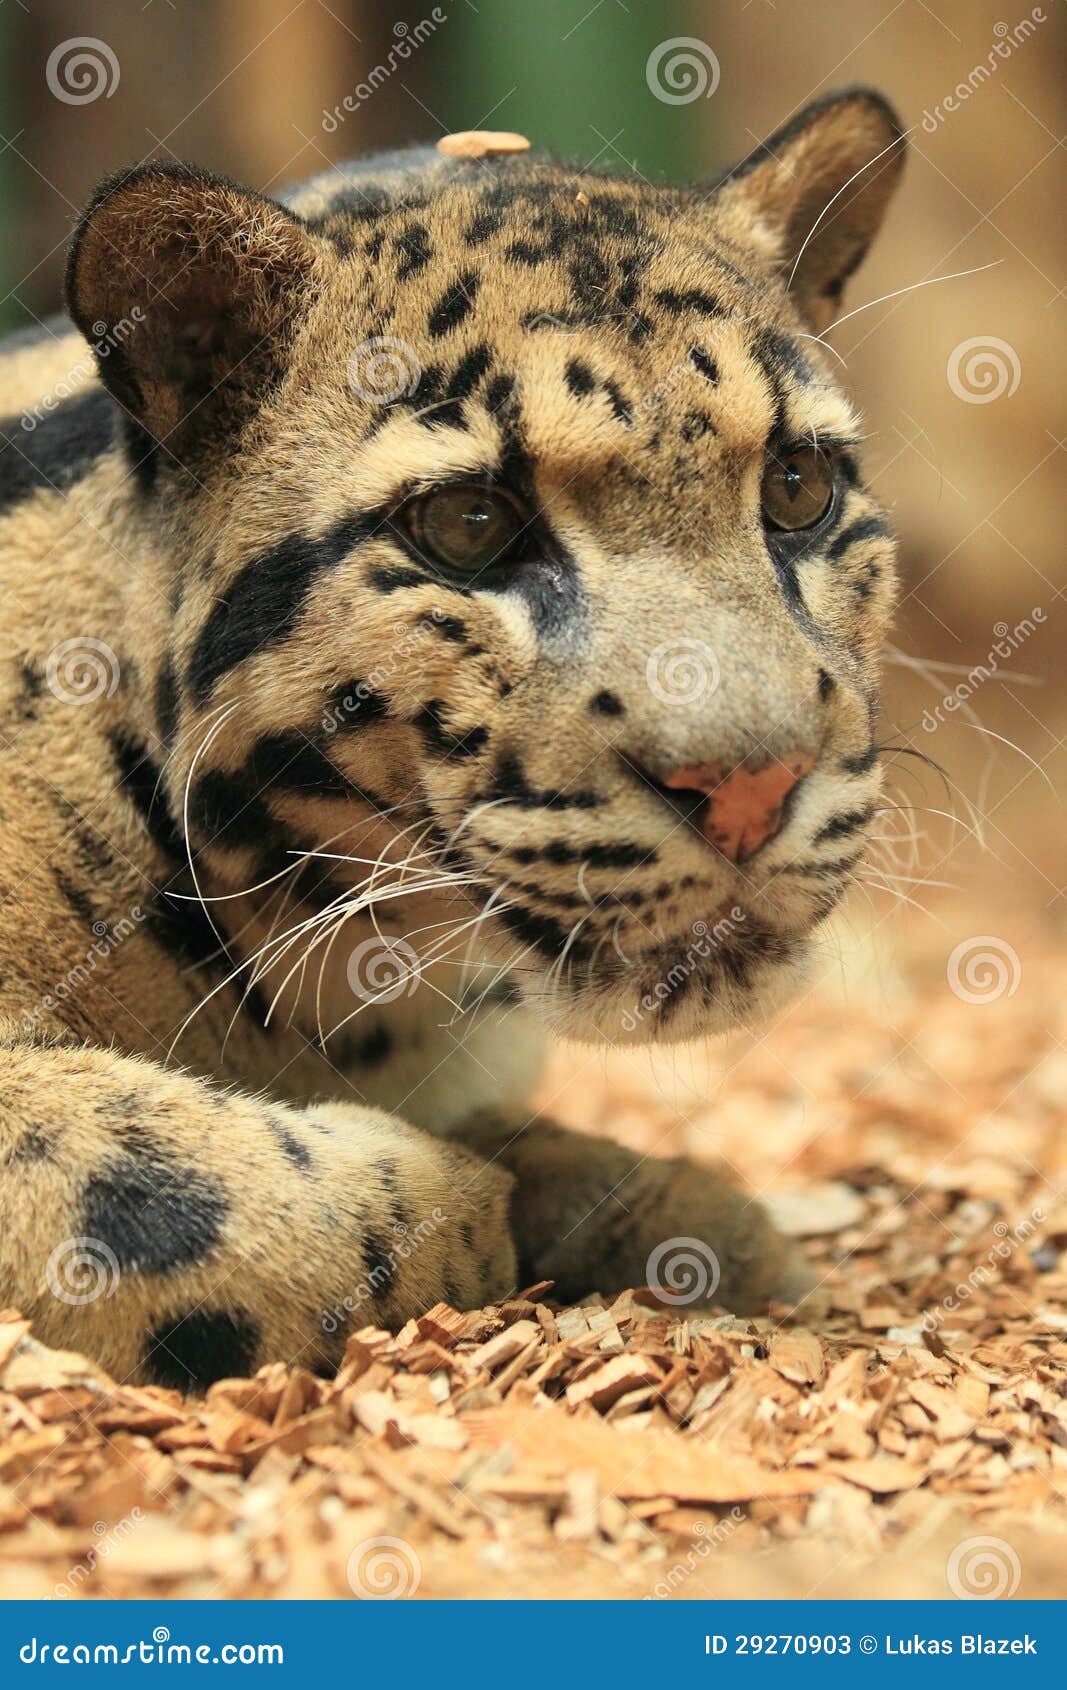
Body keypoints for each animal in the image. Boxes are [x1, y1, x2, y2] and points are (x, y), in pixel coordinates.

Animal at [0, 88, 904, 1390]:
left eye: (796, 486)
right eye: (468, 525)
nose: (749, 786)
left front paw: (685, 1220)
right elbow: (177, 1190)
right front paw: (479, 1207)